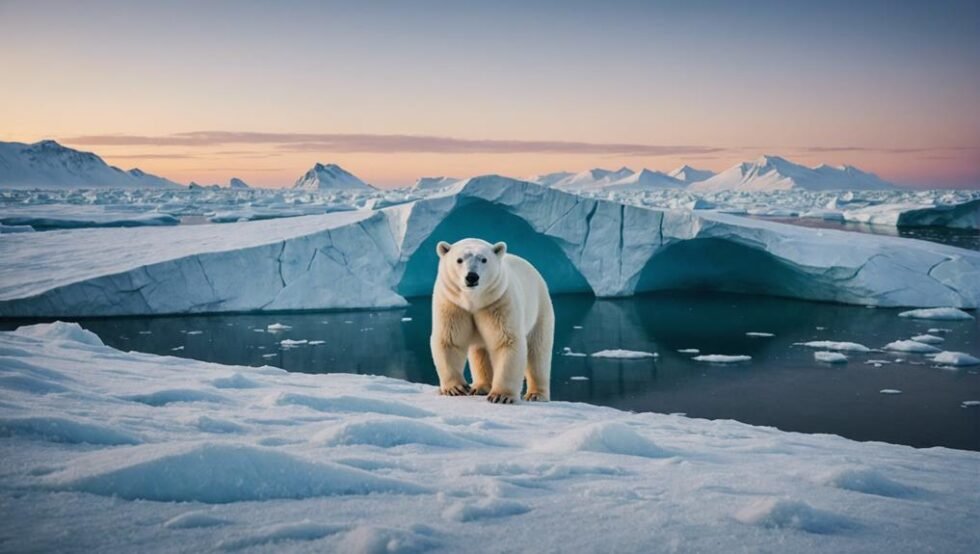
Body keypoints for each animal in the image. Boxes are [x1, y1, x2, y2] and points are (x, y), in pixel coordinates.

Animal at [430, 238, 554, 404]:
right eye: (459, 260)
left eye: (484, 259)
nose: (472, 276)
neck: (473, 301)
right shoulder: (453, 304)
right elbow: (449, 340)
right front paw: (456, 388)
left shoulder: (498, 302)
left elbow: (506, 341)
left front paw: (501, 396)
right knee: (480, 351)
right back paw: (480, 387)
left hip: (540, 308)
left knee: (538, 351)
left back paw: (536, 394)